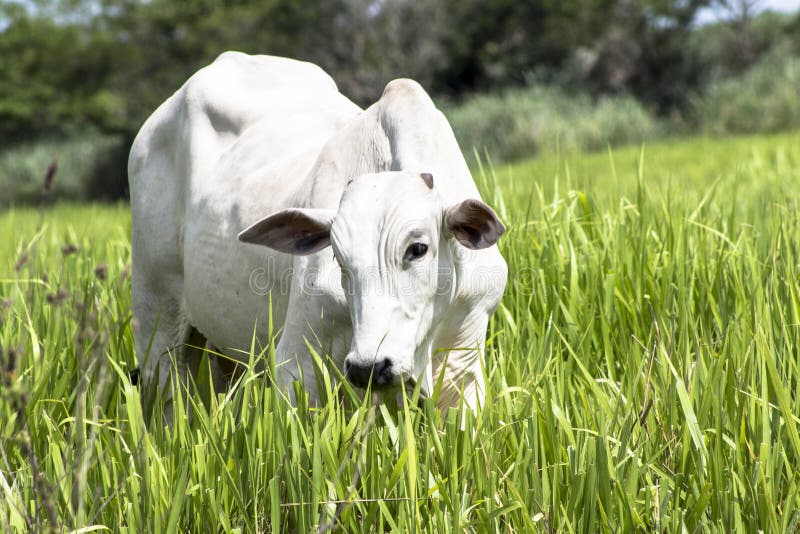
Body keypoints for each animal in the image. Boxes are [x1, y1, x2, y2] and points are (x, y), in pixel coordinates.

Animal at [128, 52, 507, 420]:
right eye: (339, 258)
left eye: (418, 248)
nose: (369, 367)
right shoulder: (296, 365)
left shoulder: (463, 366)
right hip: (157, 322)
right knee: (169, 404)